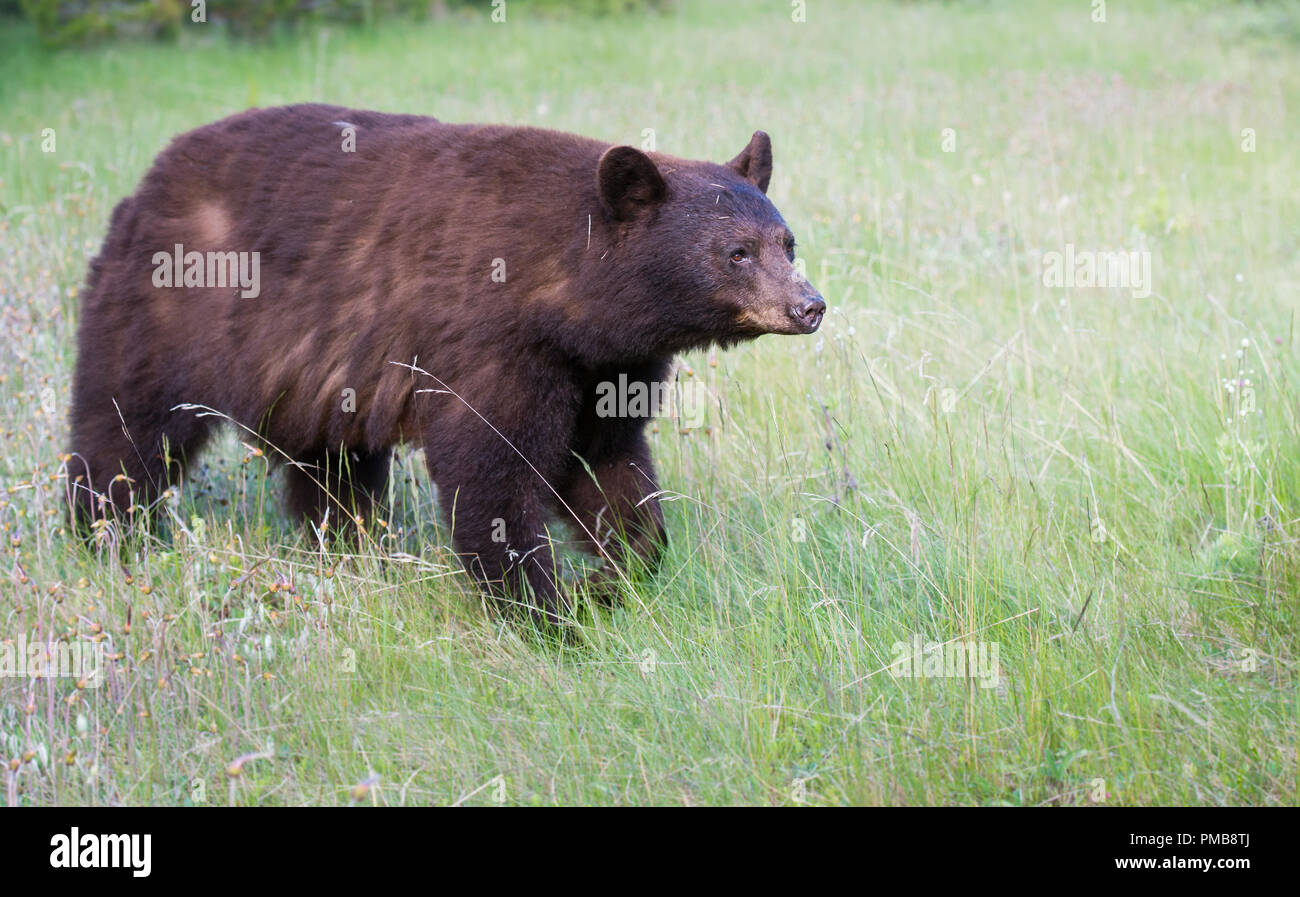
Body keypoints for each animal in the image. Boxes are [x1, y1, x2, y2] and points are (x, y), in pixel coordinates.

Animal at [66, 104, 825, 625]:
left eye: (786, 241)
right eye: (736, 253)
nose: (809, 305)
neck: (567, 292)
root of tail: (141, 187)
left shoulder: (602, 367)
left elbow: (608, 464)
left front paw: (616, 576)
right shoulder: (493, 341)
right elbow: (490, 471)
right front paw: (546, 615)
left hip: (317, 380)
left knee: (333, 466)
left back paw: (350, 548)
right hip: (161, 315)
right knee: (122, 433)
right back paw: (104, 536)